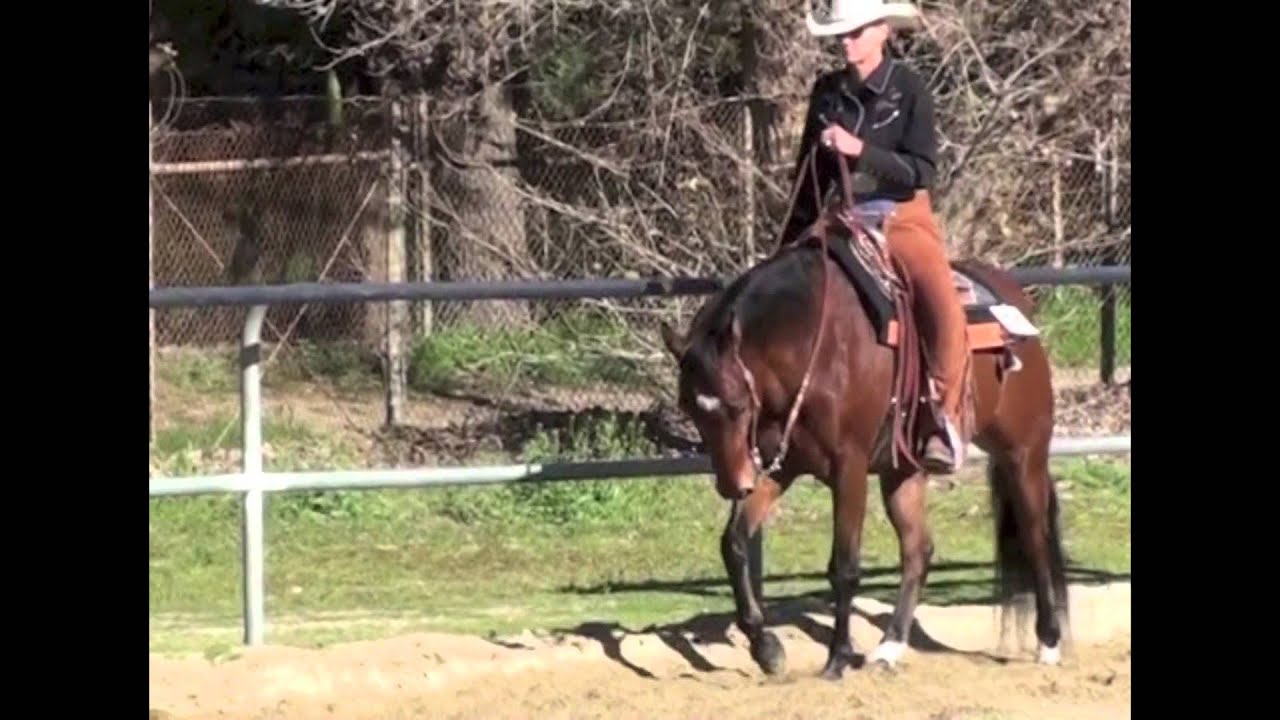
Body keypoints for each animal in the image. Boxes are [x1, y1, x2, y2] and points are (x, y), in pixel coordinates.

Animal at [658, 201, 1070, 680]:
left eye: (737, 404)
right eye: (690, 407)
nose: (732, 484)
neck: (810, 342)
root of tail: (1018, 303)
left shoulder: (848, 468)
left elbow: (844, 567)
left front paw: (837, 657)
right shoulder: (786, 466)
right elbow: (735, 543)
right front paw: (767, 647)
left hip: (1023, 452)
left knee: (1035, 537)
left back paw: (1049, 643)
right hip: (903, 471)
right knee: (918, 549)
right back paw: (889, 648)